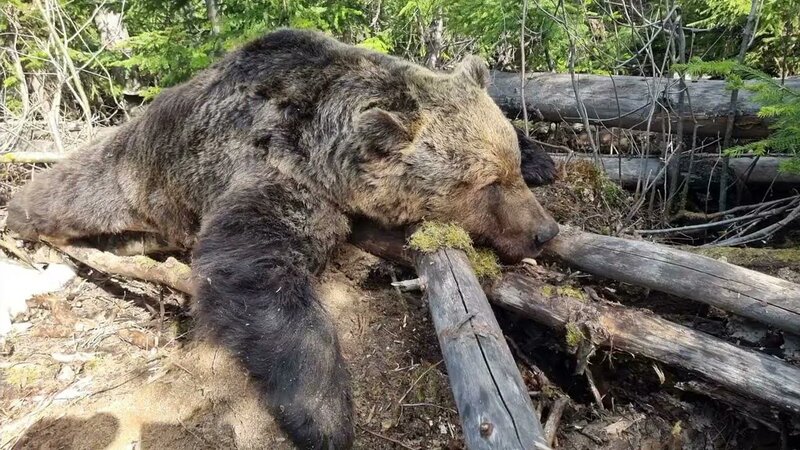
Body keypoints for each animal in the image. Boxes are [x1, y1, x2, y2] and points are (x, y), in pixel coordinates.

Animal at [6, 29, 559, 449]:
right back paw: (19, 214)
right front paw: (324, 414)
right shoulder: (272, 170)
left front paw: (542, 156)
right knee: (72, 188)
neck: (324, 138)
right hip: (131, 171)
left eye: (509, 171)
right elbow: (250, 268)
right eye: (486, 185)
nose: (544, 231)